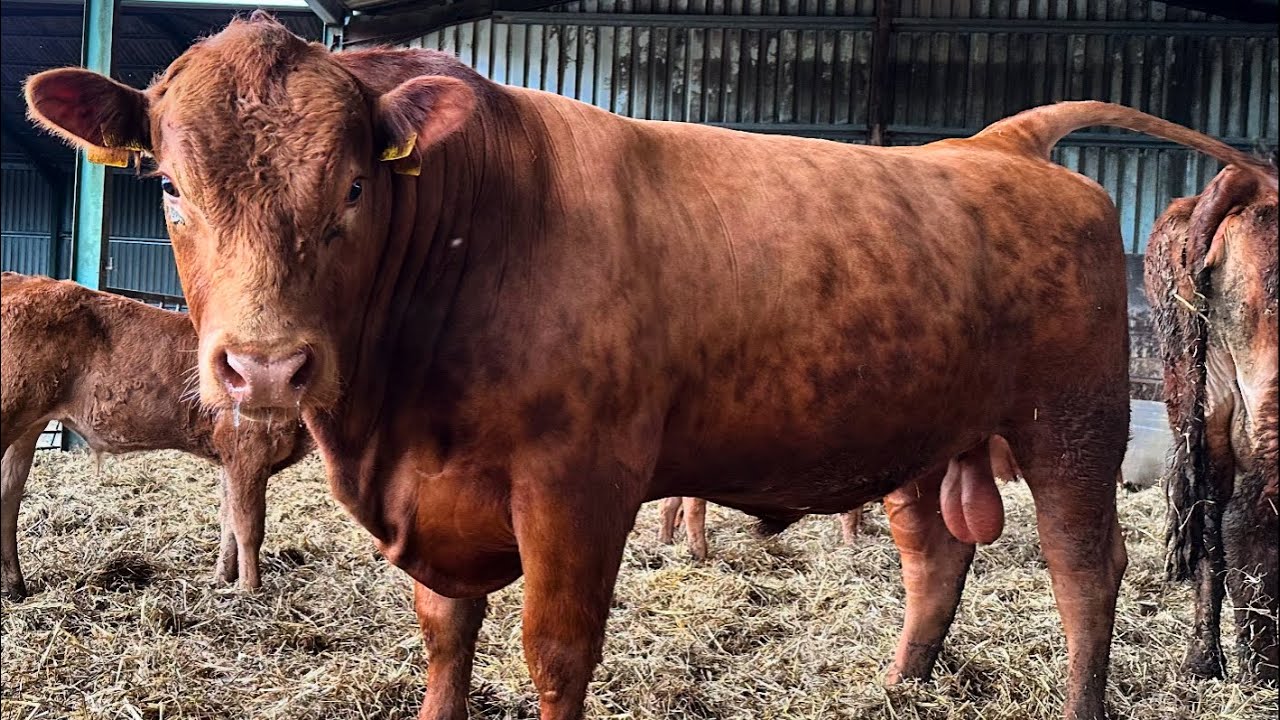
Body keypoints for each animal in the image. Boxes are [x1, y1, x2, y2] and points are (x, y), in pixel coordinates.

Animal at [0, 273, 311, 599]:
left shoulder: (231, 457)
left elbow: (229, 517)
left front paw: (223, 579)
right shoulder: (248, 449)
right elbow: (248, 526)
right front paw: (250, 590)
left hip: (28, 428)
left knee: (9, 496)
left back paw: (16, 586)